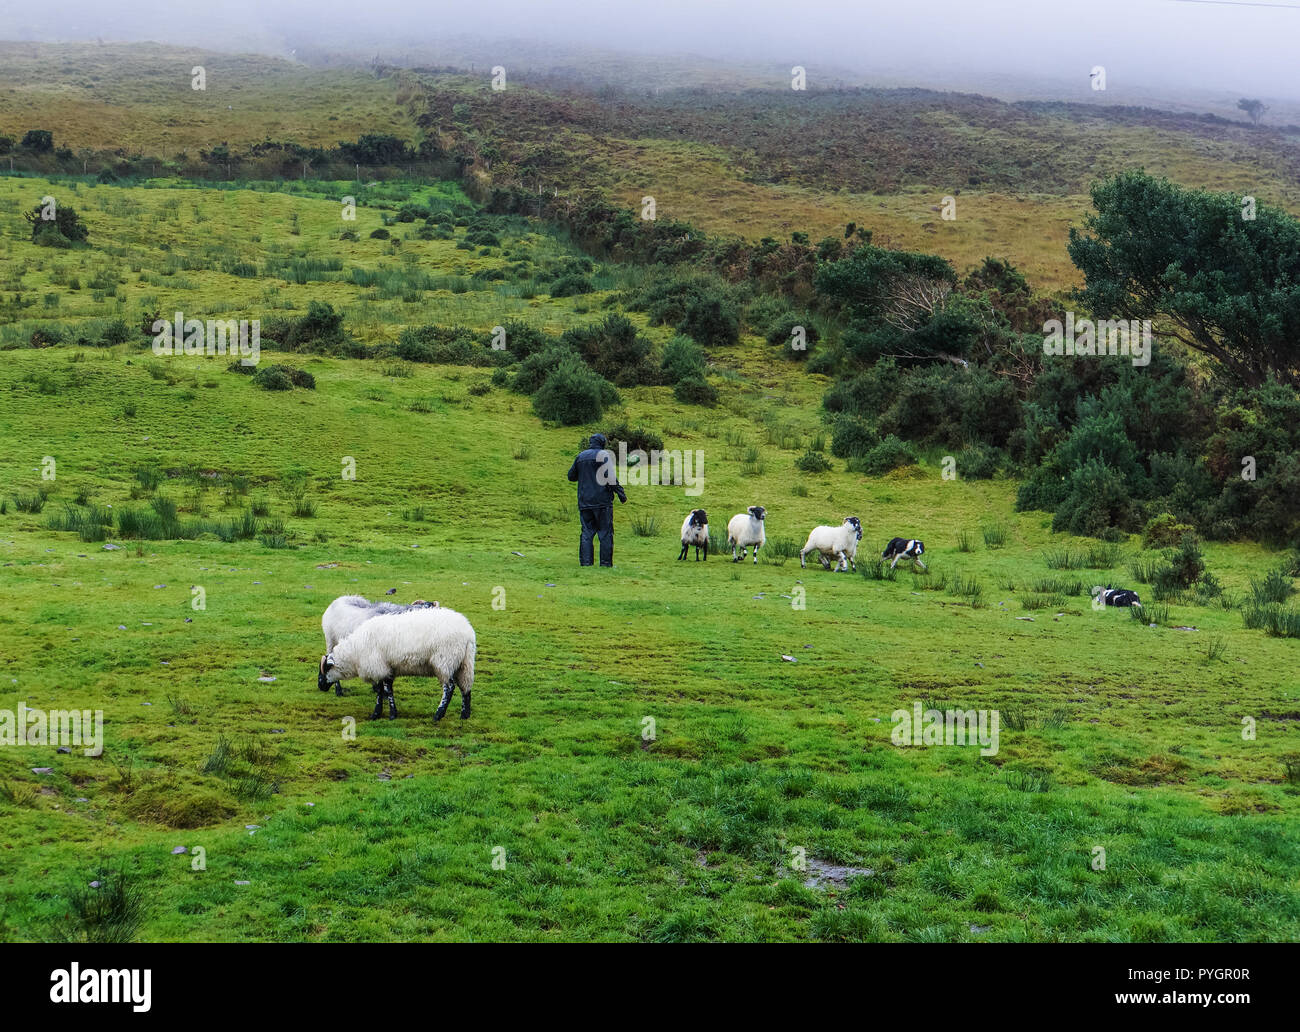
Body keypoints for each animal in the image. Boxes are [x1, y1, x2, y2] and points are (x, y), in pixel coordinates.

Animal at [320, 606, 476, 722]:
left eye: (324, 670)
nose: (320, 687)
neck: (354, 653)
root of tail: (468, 632)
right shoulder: (387, 668)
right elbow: (388, 689)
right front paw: (391, 713)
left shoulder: (377, 667)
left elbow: (382, 690)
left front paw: (378, 714)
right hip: (464, 663)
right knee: (466, 687)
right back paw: (465, 715)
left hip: (444, 661)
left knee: (449, 688)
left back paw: (438, 715)